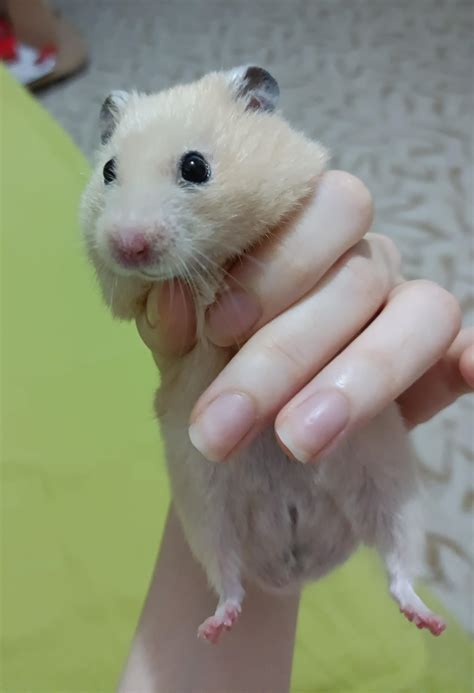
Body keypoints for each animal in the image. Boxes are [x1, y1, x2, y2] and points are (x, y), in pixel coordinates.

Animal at [80, 66, 446, 643]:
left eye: (195, 166)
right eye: (109, 170)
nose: (127, 244)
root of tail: (297, 568)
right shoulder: (120, 290)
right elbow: (138, 294)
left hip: (393, 488)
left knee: (400, 565)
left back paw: (429, 620)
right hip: (205, 512)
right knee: (228, 576)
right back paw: (215, 627)